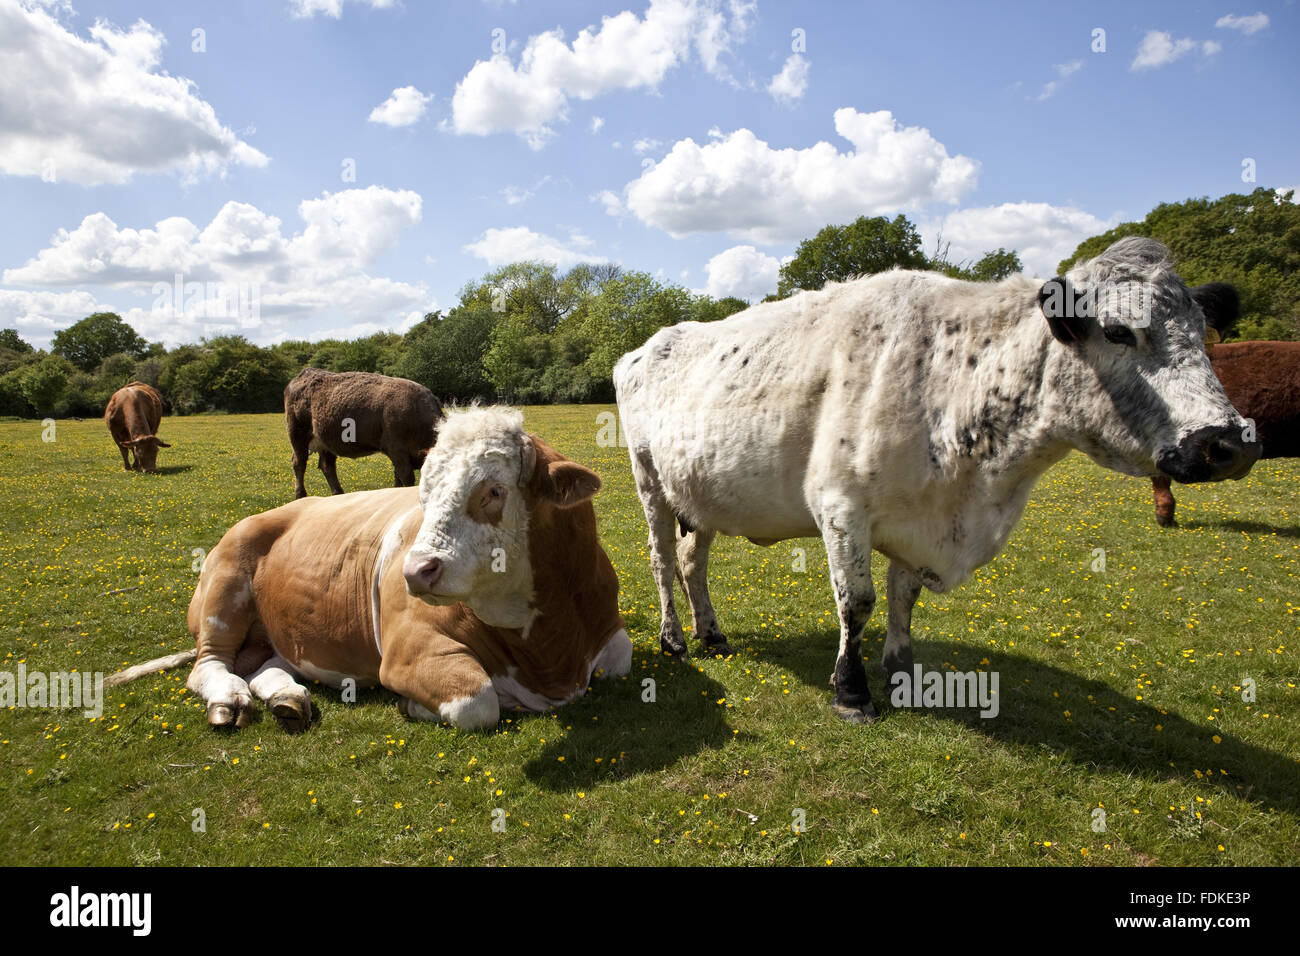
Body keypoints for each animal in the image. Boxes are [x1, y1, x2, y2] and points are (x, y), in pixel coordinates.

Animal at [104, 406, 631, 732]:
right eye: (424, 491)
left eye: (494, 491)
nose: (416, 571)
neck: (549, 650)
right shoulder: (409, 652)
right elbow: (476, 702)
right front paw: (414, 705)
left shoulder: (608, 630)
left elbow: (621, 662)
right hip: (223, 585)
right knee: (209, 666)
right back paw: (227, 701)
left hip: (281, 633)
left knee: (264, 666)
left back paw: (286, 698)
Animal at [284, 367, 443, 498]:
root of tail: (306, 373)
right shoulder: (398, 452)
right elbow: (406, 479)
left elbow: (398, 479)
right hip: (297, 434)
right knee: (299, 463)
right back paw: (300, 495)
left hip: (325, 440)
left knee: (327, 466)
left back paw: (338, 494)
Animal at [613, 237, 1259, 724]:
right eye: (1121, 332)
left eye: (1202, 331)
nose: (1228, 443)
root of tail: (644, 346)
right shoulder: (840, 507)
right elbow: (858, 602)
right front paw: (852, 692)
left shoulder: (915, 519)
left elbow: (903, 598)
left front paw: (900, 672)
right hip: (650, 483)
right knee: (663, 560)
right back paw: (674, 638)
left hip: (701, 492)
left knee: (693, 561)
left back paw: (712, 633)